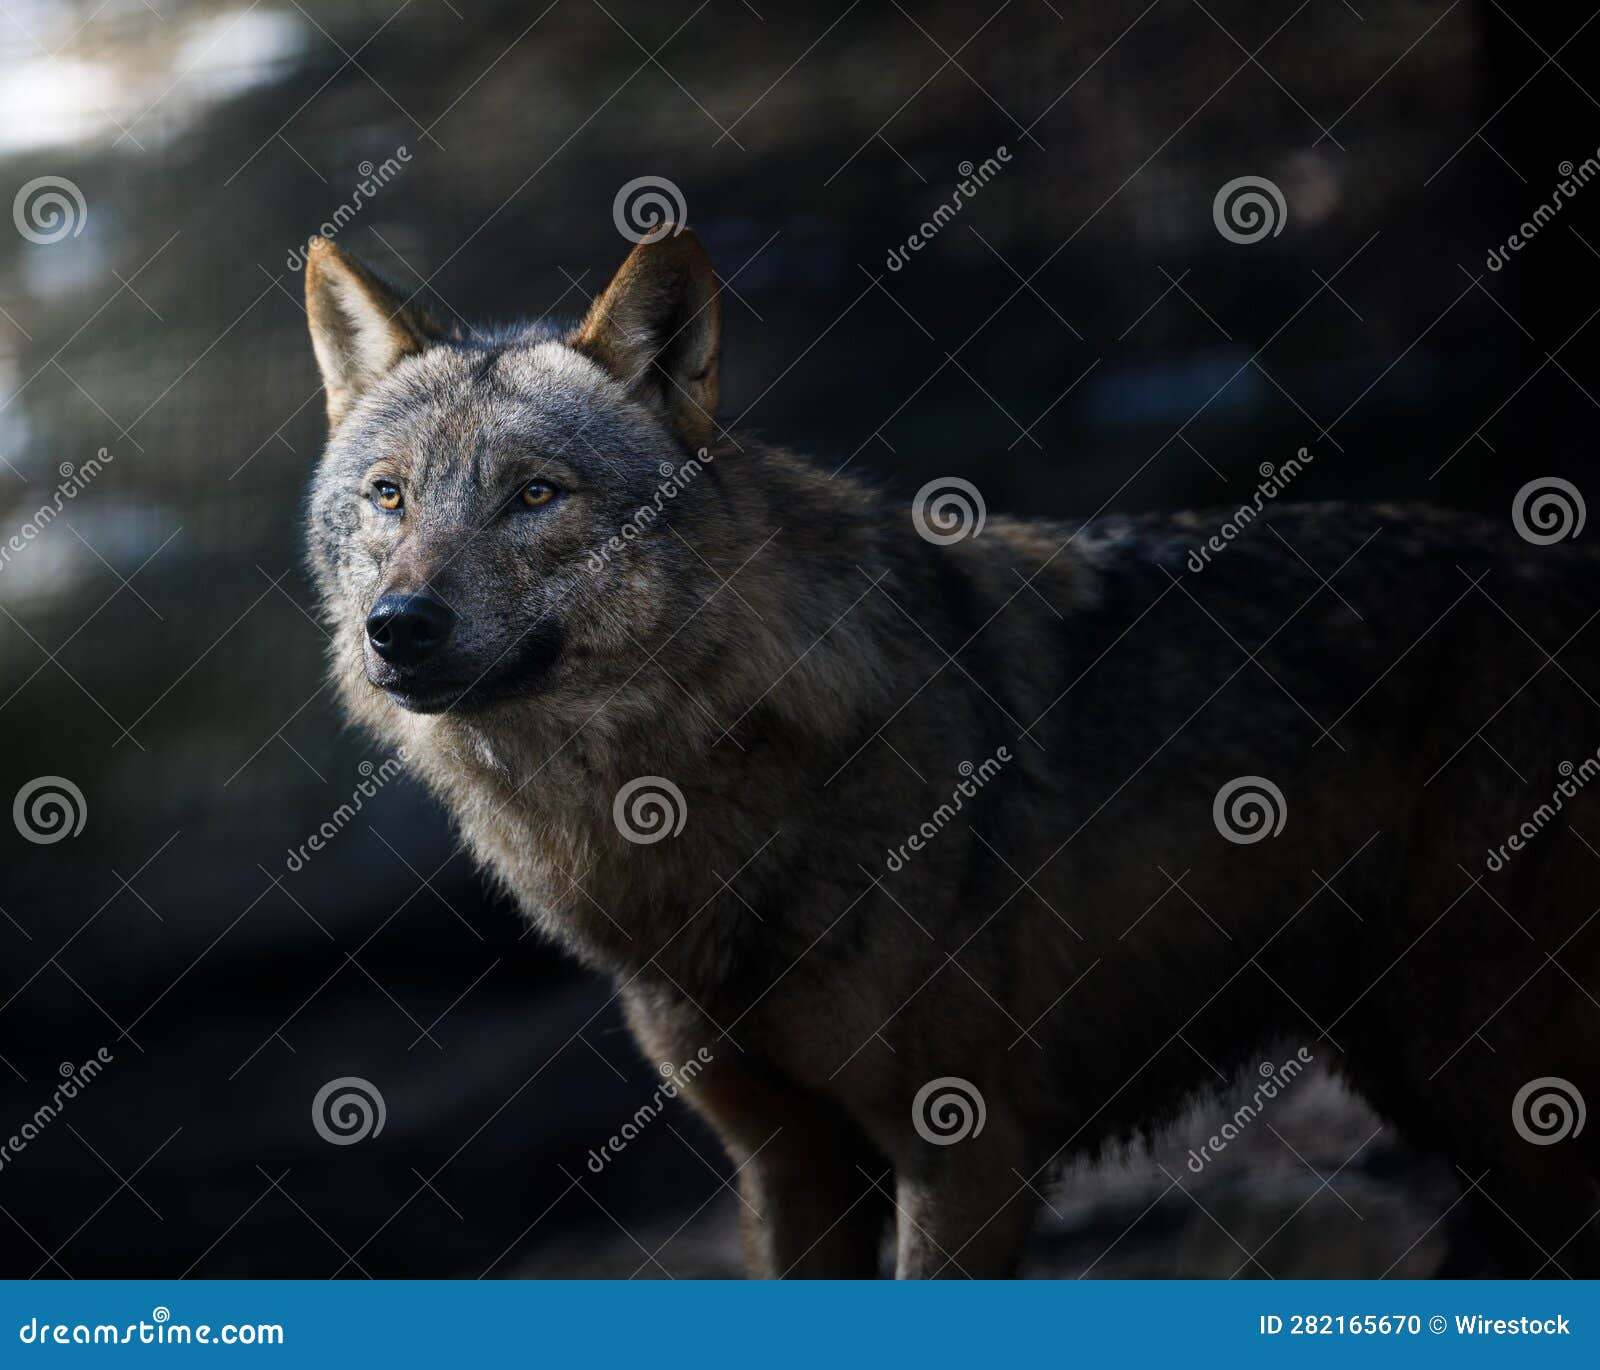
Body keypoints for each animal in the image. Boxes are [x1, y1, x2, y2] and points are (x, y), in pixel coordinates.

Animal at [303, 227, 1600, 1278]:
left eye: (535, 494)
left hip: (1492, 1078)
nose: (398, 627)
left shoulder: (966, 1147)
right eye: (389, 496)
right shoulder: (786, 1164)